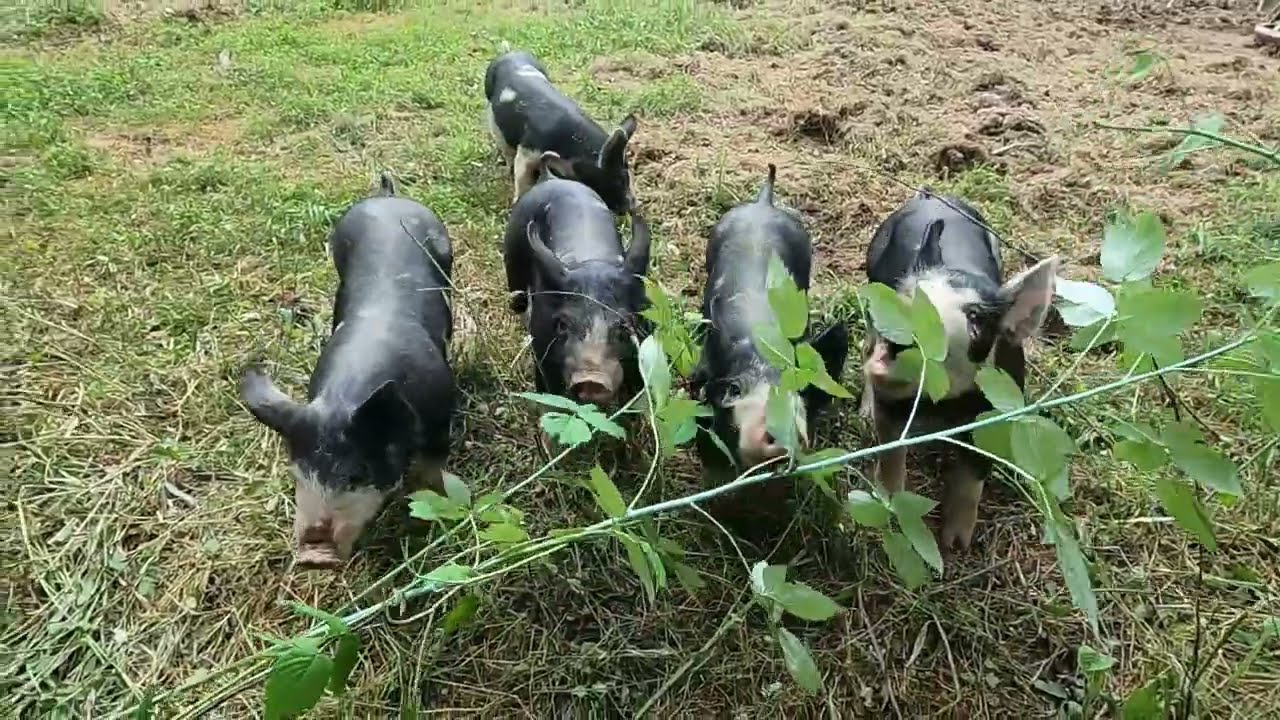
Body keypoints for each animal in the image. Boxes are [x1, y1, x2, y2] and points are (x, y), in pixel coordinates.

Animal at [240, 172, 456, 569]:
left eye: (356, 476)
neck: (344, 398)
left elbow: (433, 471)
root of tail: (387, 197)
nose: (314, 555)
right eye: (298, 476)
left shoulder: (440, 414)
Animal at [484, 48, 638, 214]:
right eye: (614, 182)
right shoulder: (527, 150)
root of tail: (509, 52)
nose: (629, 207)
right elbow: (522, 175)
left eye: (625, 178)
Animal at [502, 171, 651, 434]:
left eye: (625, 325)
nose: (592, 379)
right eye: (563, 324)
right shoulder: (542, 351)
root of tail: (550, 179)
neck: (592, 263)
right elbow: (549, 395)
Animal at [862, 190, 1059, 552]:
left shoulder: (996, 414)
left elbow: (973, 475)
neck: (939, 407)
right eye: (913, 292)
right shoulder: (891, 406)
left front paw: (955, 545)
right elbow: (891, 451)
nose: (910, 327)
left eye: (976, 319)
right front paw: (886, 503)